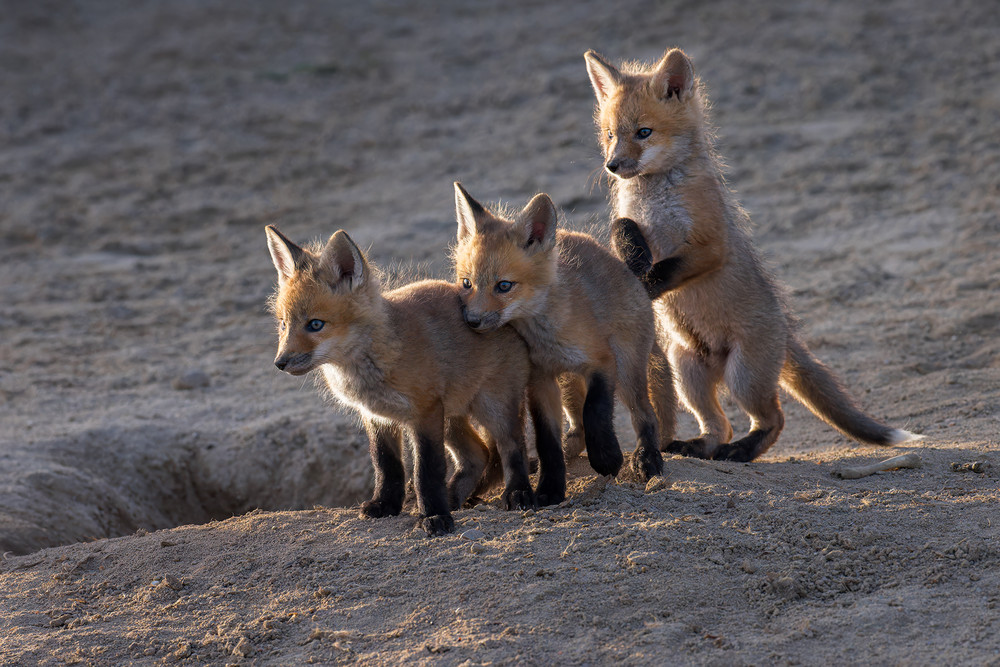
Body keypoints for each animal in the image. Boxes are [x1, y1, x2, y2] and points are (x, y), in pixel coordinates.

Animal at [266, 225, 547, 536]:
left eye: (315, 324)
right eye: (283, 324)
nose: (280, 363)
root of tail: (506, 319)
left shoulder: (424, 412)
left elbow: (426, 470)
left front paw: (434, 516)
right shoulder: (377, 416)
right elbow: (386, 466)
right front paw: (386, 505)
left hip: (492, 407)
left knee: (513, 446)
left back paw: (518, 493)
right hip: (452, 416)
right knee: (478, 455)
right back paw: (453, 498)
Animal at [451, 182, 675, 482]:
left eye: (504, 286)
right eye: (467, 283)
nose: (472, 320)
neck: (544, 337)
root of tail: (627, 271)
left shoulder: (602, 360)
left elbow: (595, 410)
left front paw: (606, 457)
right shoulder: (539, 378)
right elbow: (548, 435)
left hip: (627, 368)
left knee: (644, 413)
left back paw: (647, 456)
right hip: (568, 380)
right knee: (577, 430)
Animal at [584, 47, 921, 461]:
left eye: (643, 132)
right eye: (610, 135)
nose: (612, 165)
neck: (655, 198)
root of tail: (786, 329)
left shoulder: (711, 243)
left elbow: (667, 269)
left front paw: (645, 285)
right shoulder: (630, 219)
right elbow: (623, 230)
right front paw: (633, 257)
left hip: (742, 377)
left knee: (772, 420)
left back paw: (742, 451)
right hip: (688, 373)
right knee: (720, 426)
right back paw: (699, 446)